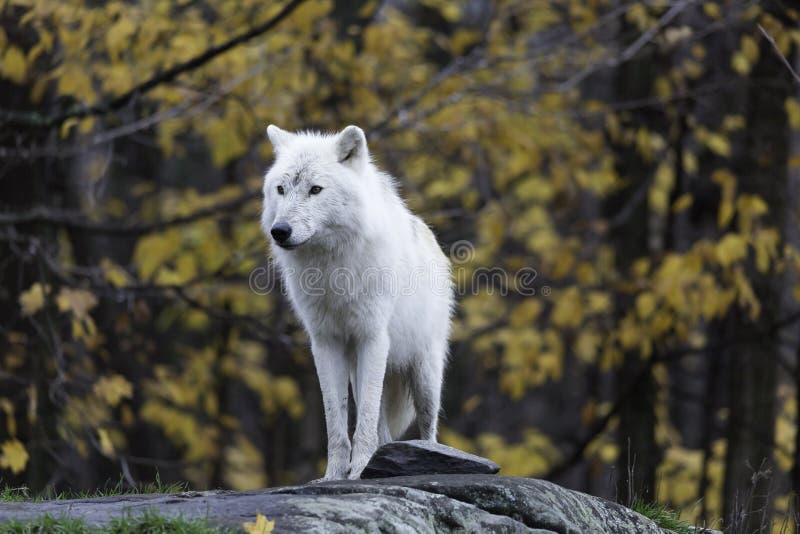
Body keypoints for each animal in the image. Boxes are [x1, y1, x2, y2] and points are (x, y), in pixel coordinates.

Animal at [260, 124, 453, 480]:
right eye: (280, 189)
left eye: (315, 190)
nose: (279, 231)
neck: (332, 270)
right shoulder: (326, 342)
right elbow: (336, 420)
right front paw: (334, 476)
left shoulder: (372, 338)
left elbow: (362, 420)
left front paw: (361, 468)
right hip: (360, 366)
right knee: (381, 426)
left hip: (425, 373)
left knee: (427, 428)